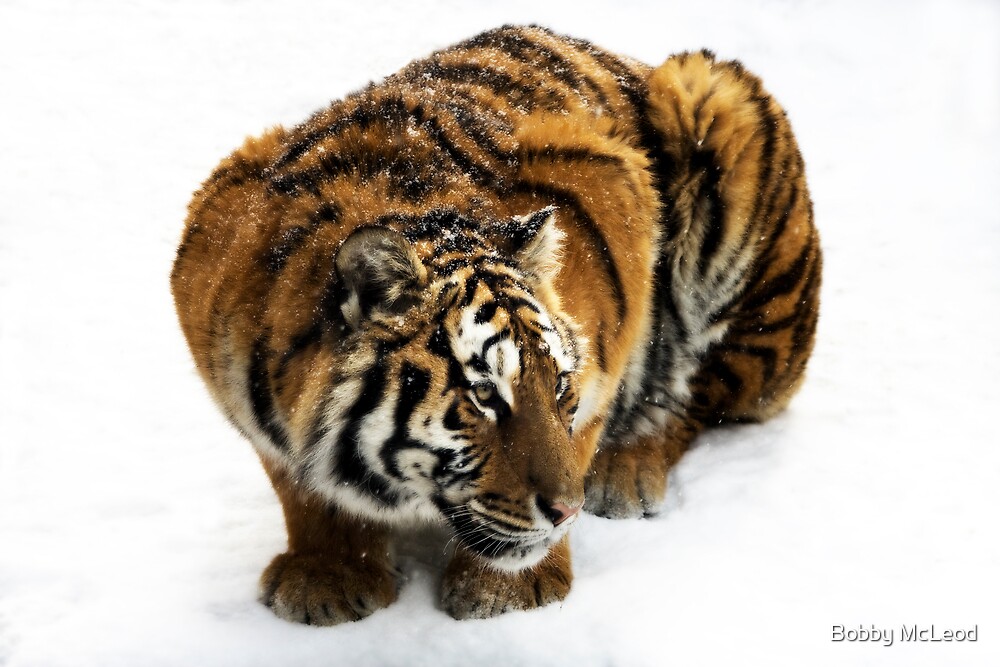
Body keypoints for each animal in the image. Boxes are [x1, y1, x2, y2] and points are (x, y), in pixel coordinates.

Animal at [171, 25, 820, 623]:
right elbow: (300, 482)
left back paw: (627, 466)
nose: (567, 511)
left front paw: (506, 591)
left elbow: (587, 419)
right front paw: (328, 577)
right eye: (483, 396)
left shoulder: (612, 184)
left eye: (558, 386)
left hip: (717, 113)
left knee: (707, 385)